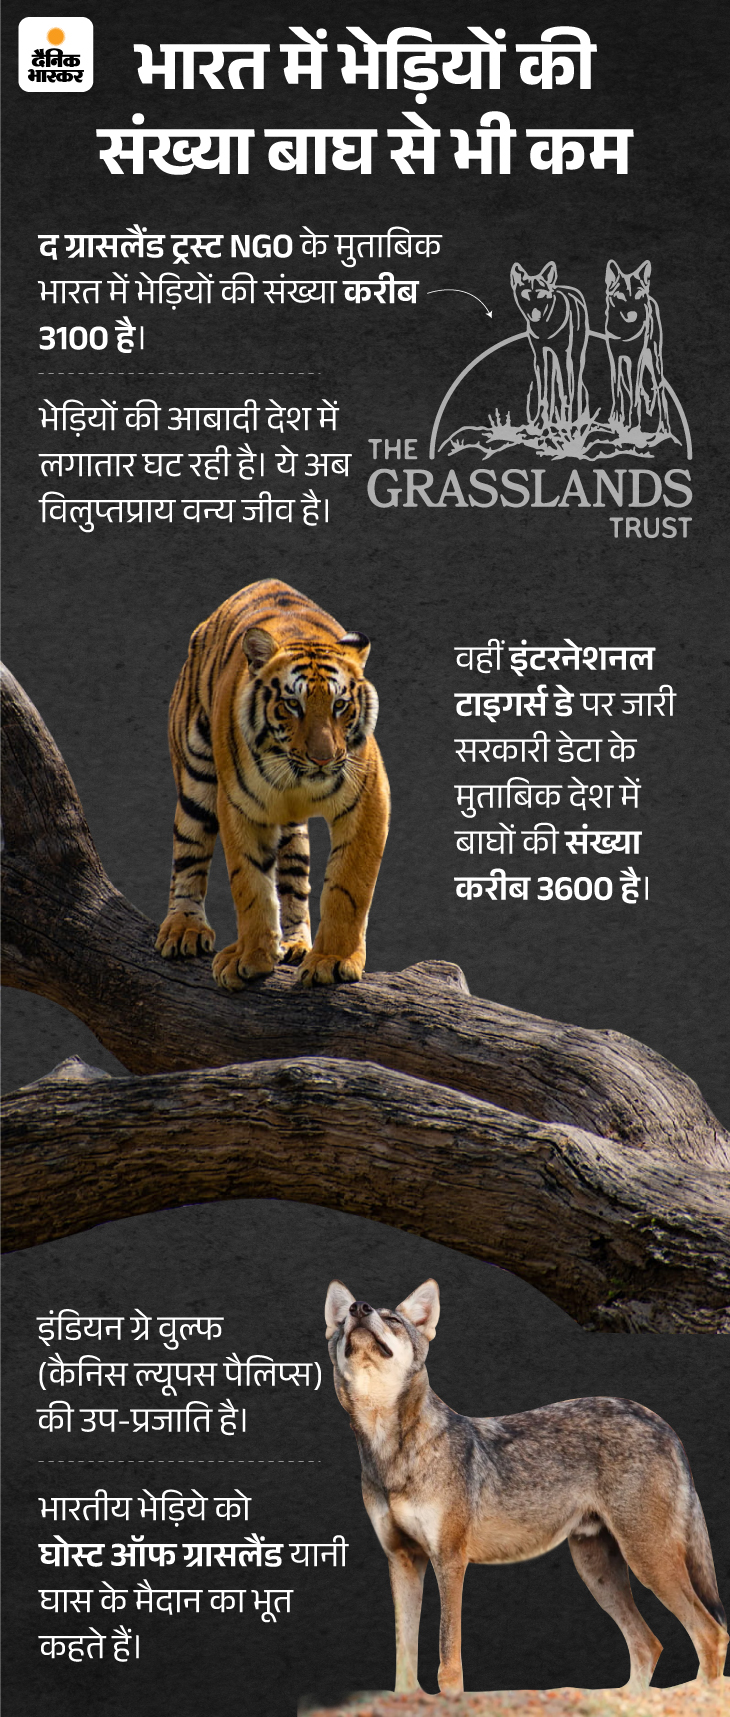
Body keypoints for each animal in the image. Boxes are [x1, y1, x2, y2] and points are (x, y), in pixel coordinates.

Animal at [325, 1278, 728, 1695]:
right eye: (341, 1323)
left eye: (391, 1319)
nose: (358, 1308)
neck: (390, 1452)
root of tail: (657, 1420)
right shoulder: (402, 1561)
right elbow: (404, 1664)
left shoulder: (450, 1561)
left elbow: (447, 1662)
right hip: (598, 1572)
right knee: (650, 1644)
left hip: (648, 1561)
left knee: (711, 1635)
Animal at [510, 260, 589, 430]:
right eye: (525, 294)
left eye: (541, 294)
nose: (535, 312)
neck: (544, 327)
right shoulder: (539, 356)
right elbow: (543, 392)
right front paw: (540, 422)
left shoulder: (562, 354)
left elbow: (566, 391)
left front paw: (566, 423)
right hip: (551, 357)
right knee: (553, 385)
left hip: (575, 354)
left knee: (576, 383)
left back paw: (575, 419)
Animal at [605, 259, 671, 438]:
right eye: (620, 295)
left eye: (639, 295)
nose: (633, 315)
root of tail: (652, 299)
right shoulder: (614, 357)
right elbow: (616, 388)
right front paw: (616, 417)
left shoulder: (636, 359)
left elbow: (635, 395)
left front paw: (634, 424)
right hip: (629, 364)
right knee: (638, 390)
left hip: (654, 361)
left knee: (659, 392)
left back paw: (664, 428)